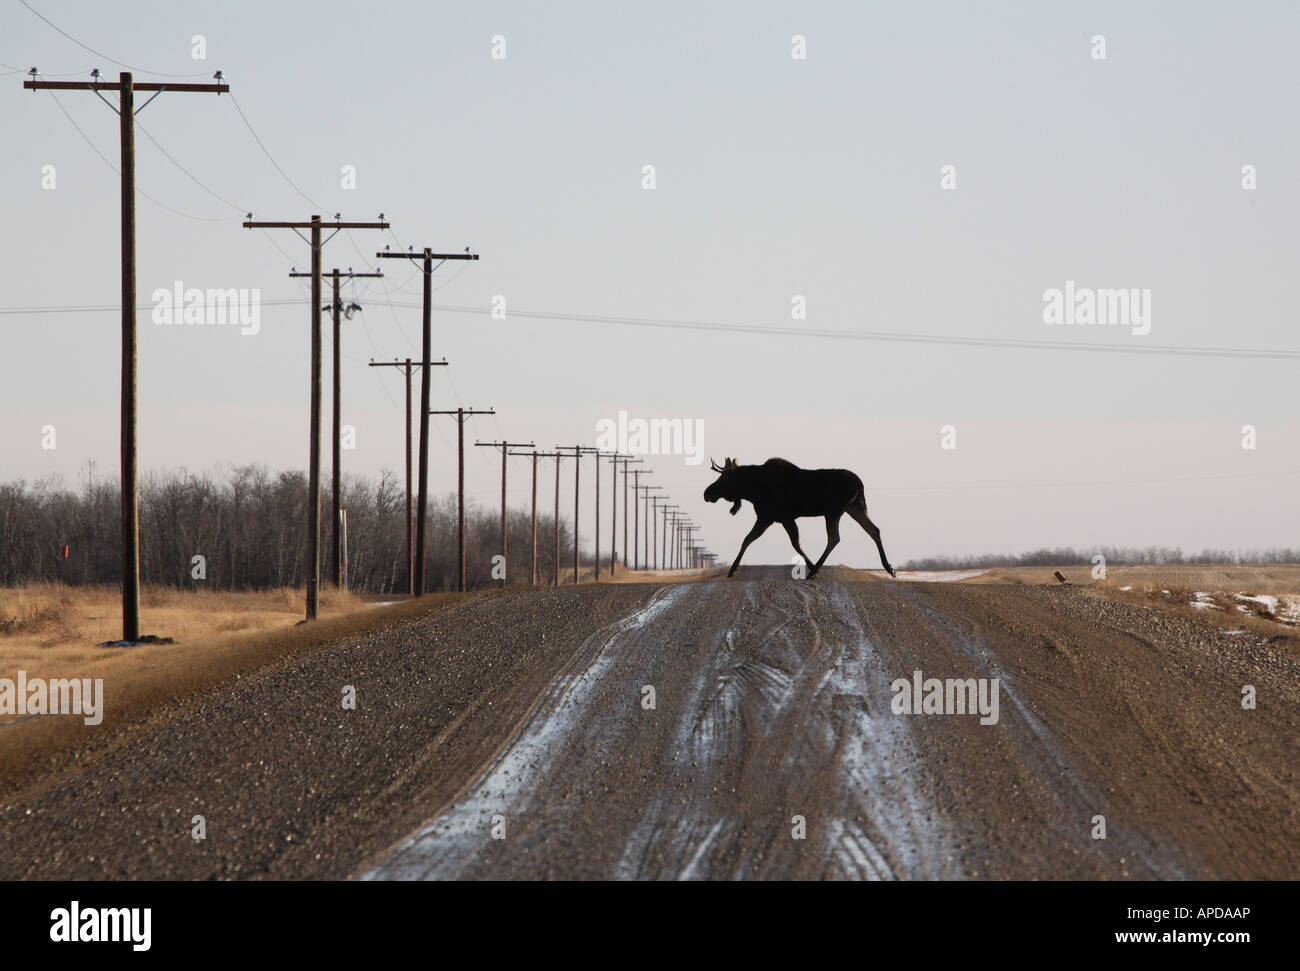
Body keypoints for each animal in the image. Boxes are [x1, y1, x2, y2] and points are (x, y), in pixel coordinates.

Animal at [703, 457, 896, 580]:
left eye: (723, 478)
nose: (706, 493)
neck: (752, 491)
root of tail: (859, 483)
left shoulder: (770, 517)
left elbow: (748, 540)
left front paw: (732, 570)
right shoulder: (781, 518)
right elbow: (796, 543)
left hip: (834, 511)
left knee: (834, 537)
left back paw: (813, 571)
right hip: (854, 507)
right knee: (873, 529)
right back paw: (889, 568)